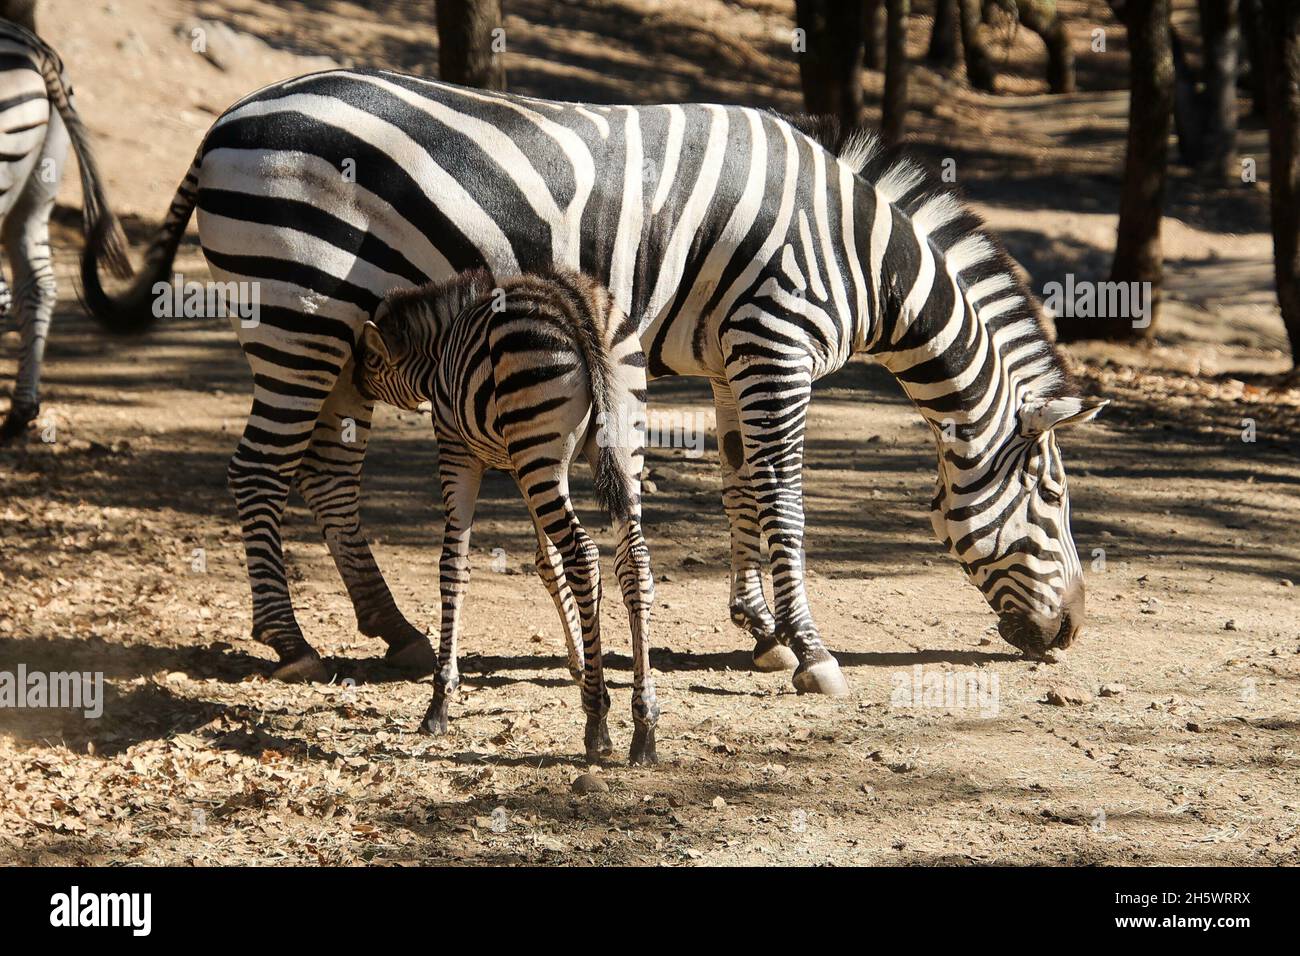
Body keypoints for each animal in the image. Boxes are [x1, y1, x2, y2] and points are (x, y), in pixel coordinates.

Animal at [82, 70, 1105, 691]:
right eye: (1053, 500)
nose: (1070, 637)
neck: (855, 257)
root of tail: (230, 116)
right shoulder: (777, 344)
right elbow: (784, 500)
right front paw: (811, 651)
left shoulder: (738, 357)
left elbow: (741, 488)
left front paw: (762, 630)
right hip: (299, 314)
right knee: (258, 470)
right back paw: (292, 644)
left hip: (342, 337)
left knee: (327, 474)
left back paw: (397, 631)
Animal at [354, 267, 657, 764]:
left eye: (370, 365)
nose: (353, 389)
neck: (439, 349)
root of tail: (571, 299)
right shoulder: (519, 466)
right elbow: (547, 563)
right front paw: (580, 664)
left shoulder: (456, 451)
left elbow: (453, 565)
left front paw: (439, 701)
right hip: (610, 444)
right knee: (632, 560)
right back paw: (644, 726)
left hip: (538, 444)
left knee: (584, 555)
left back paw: (597, 721)